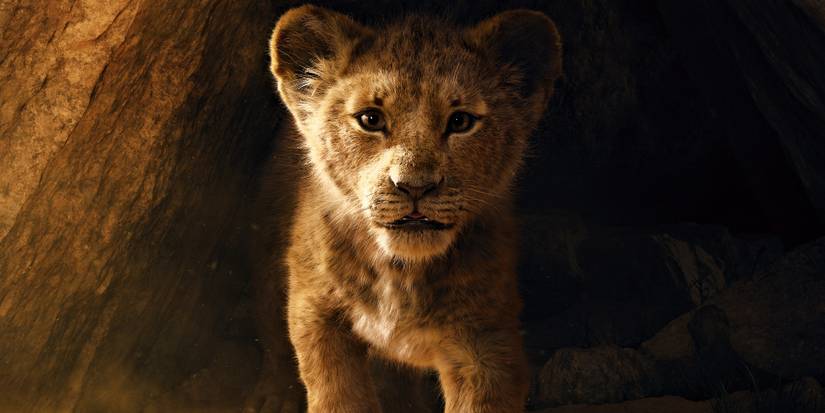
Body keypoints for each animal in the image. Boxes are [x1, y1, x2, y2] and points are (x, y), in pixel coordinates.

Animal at [260, 5, 562, 412]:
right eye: (370, 119)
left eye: (460, 121)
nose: (415, 186)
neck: (401, 272)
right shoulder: (315, 310)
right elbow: (337, 394)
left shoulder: (487, 340)